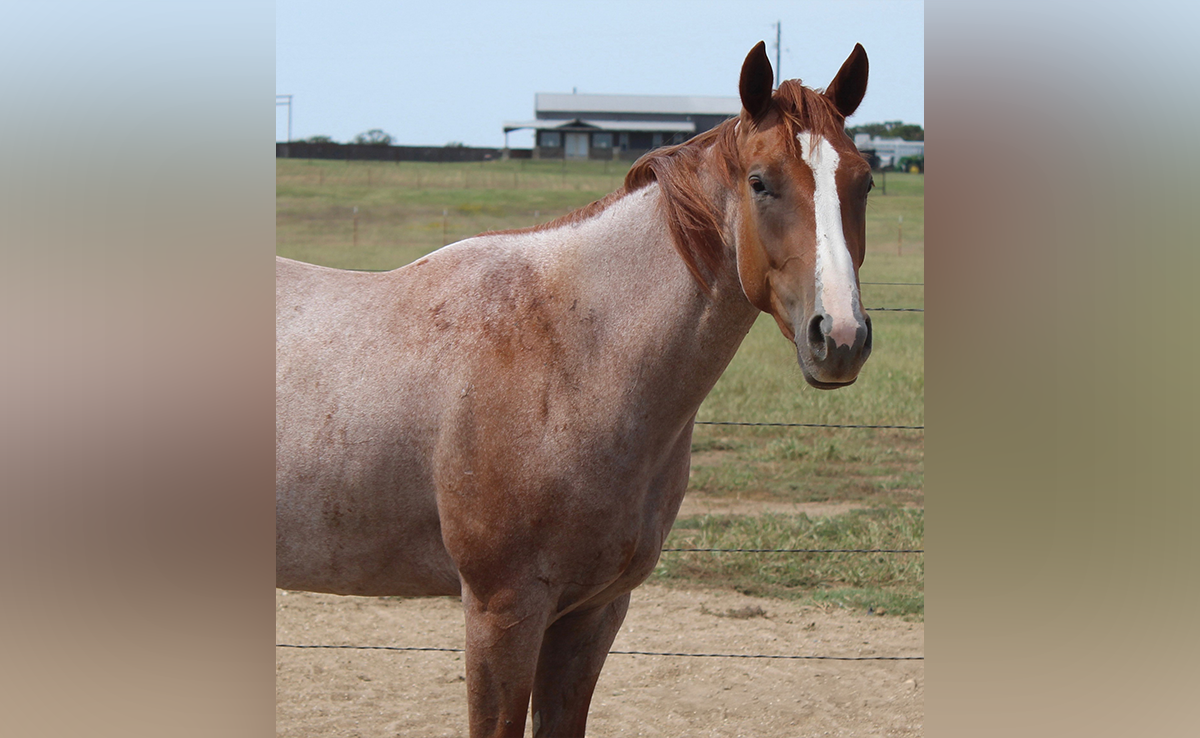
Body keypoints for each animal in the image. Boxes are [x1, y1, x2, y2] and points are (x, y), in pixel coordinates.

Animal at [277, 41, 872, 737]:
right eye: (760, 182)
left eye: (863, 180)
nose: (840, 335)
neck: (574, 355)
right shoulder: (501, 613)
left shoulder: (592, 614)